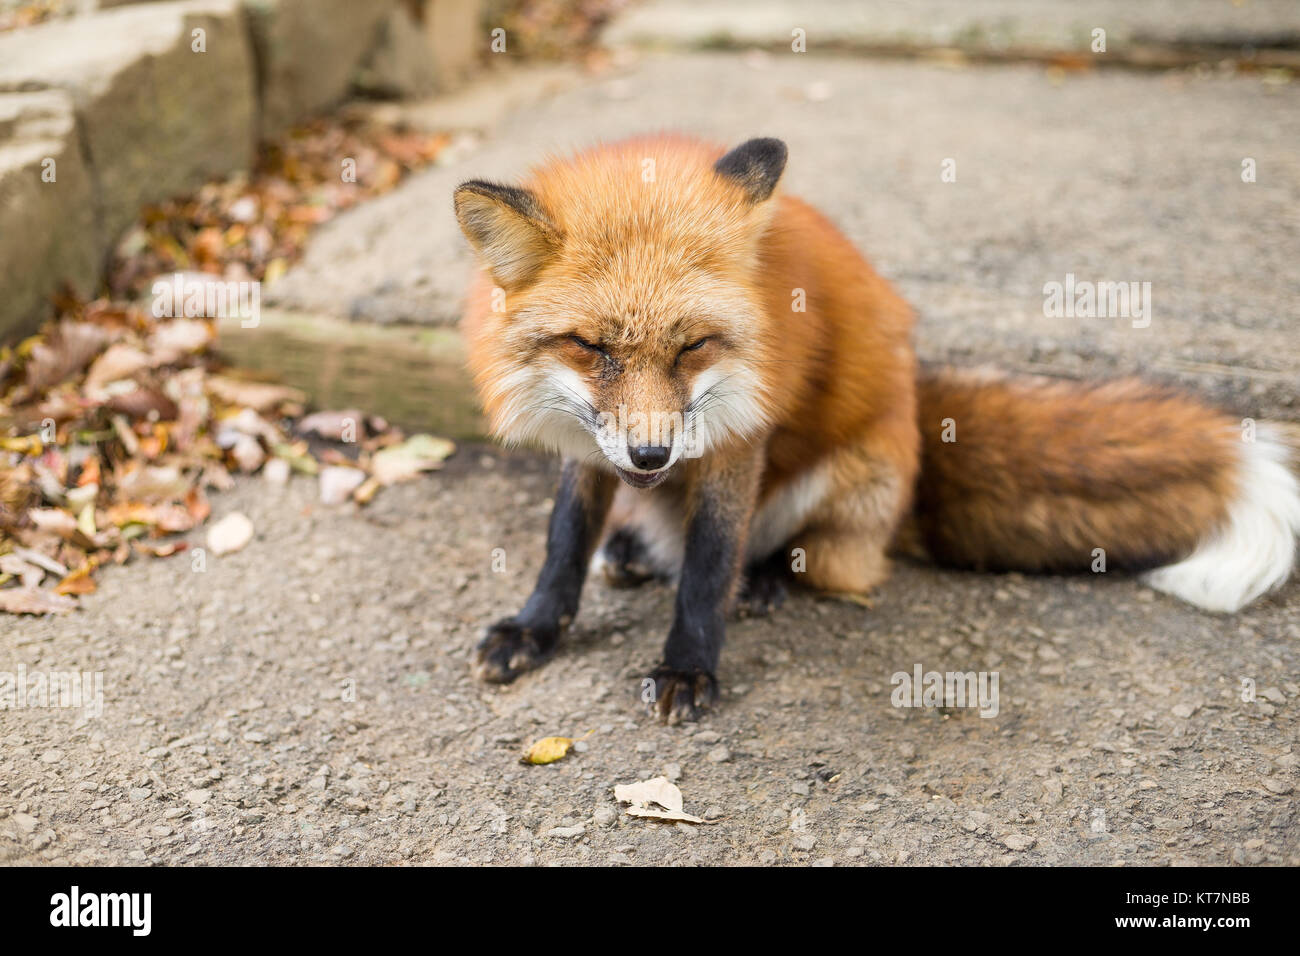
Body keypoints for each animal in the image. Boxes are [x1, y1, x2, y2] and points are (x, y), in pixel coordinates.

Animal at [453, 134, 1300, 722]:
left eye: (693, 346)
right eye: (590, 348)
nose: (653, 453)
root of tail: (919, 418)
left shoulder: (738, 438)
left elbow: (708, 563)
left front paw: (690, 666)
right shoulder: (593, 443)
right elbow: (565, 540)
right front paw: (534, 631)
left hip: (848, 481)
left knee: (824, 563)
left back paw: (764, 581)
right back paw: (634, 548)